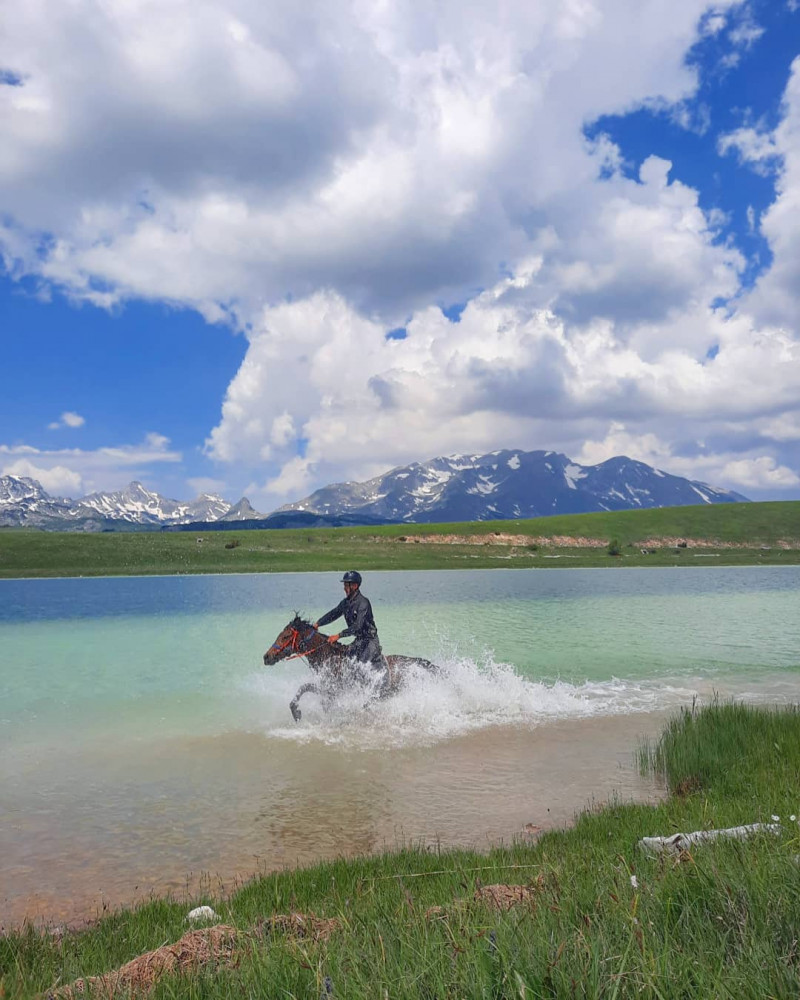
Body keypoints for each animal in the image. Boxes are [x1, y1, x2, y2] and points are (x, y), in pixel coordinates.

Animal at [263, 615, 439, 722]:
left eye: (285, 636)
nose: (266, 657)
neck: (328, 657)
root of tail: (413, 661)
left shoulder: (334, 692)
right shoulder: (326, 689)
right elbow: (303, 689)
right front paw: (297, 713)